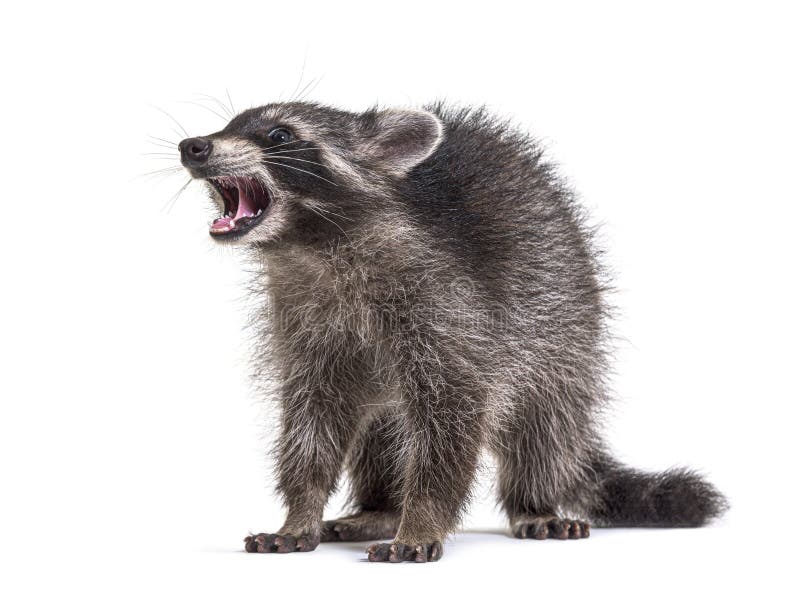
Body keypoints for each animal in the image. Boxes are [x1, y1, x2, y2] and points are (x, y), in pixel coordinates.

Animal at [178, 101, 727, 563]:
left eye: (279, 134)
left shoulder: (449, 303)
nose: (194, 146)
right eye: (229, 124)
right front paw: (300, 511)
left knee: (544, 423)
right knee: (382, 431)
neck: (312, 244)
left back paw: (533, 500)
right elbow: (312, 420)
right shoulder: (303, 319)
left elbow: (452, 416)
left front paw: (422, 519)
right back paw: (381, 508)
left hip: (566, 325)